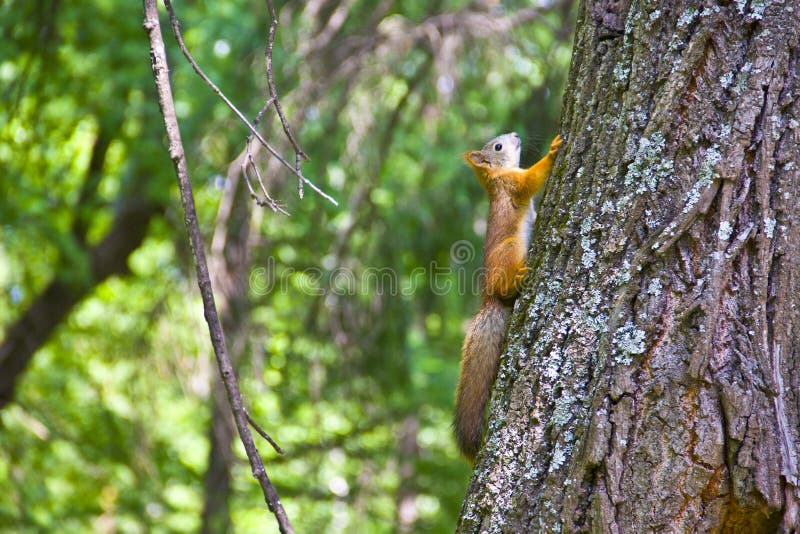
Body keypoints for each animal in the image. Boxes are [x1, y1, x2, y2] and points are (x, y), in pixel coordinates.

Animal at [454, 132, 562, 462]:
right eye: (498, 146)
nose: (515, 134)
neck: (497, 177)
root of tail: (489, 297)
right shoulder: (514, 185)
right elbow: (532, 179)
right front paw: (553, 150)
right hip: (510, 248)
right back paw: (519, 277)